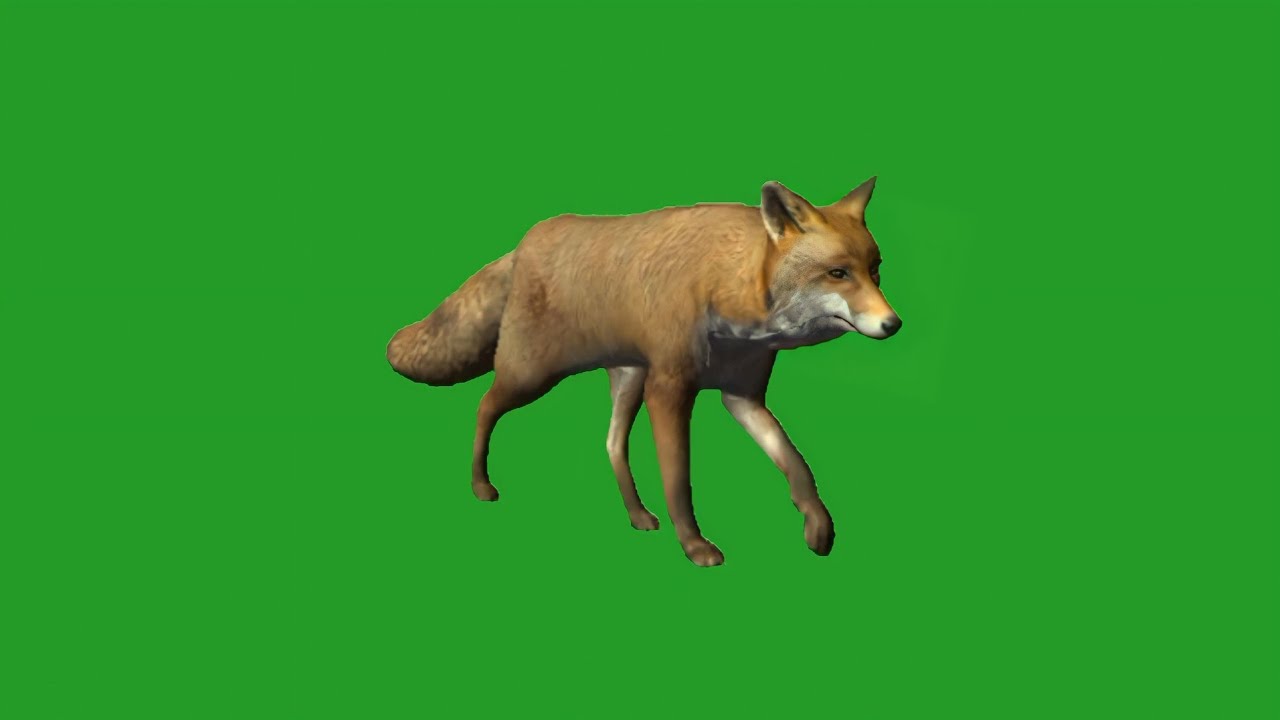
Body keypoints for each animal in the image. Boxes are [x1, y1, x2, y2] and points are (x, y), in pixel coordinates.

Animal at [387, 178, 902, 566]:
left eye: (876, 270)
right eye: (838, 273)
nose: (893, 324)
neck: (727, 283)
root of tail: (525, 241)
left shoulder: (742, 396)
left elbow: (796, 464)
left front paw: (818, 526)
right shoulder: (670, 387)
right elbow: (678, 479)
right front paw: (694, 546)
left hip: (626, 379)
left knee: (612, 444)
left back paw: (637, 515)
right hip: (531, 375)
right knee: (483, 407)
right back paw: (480, 484)